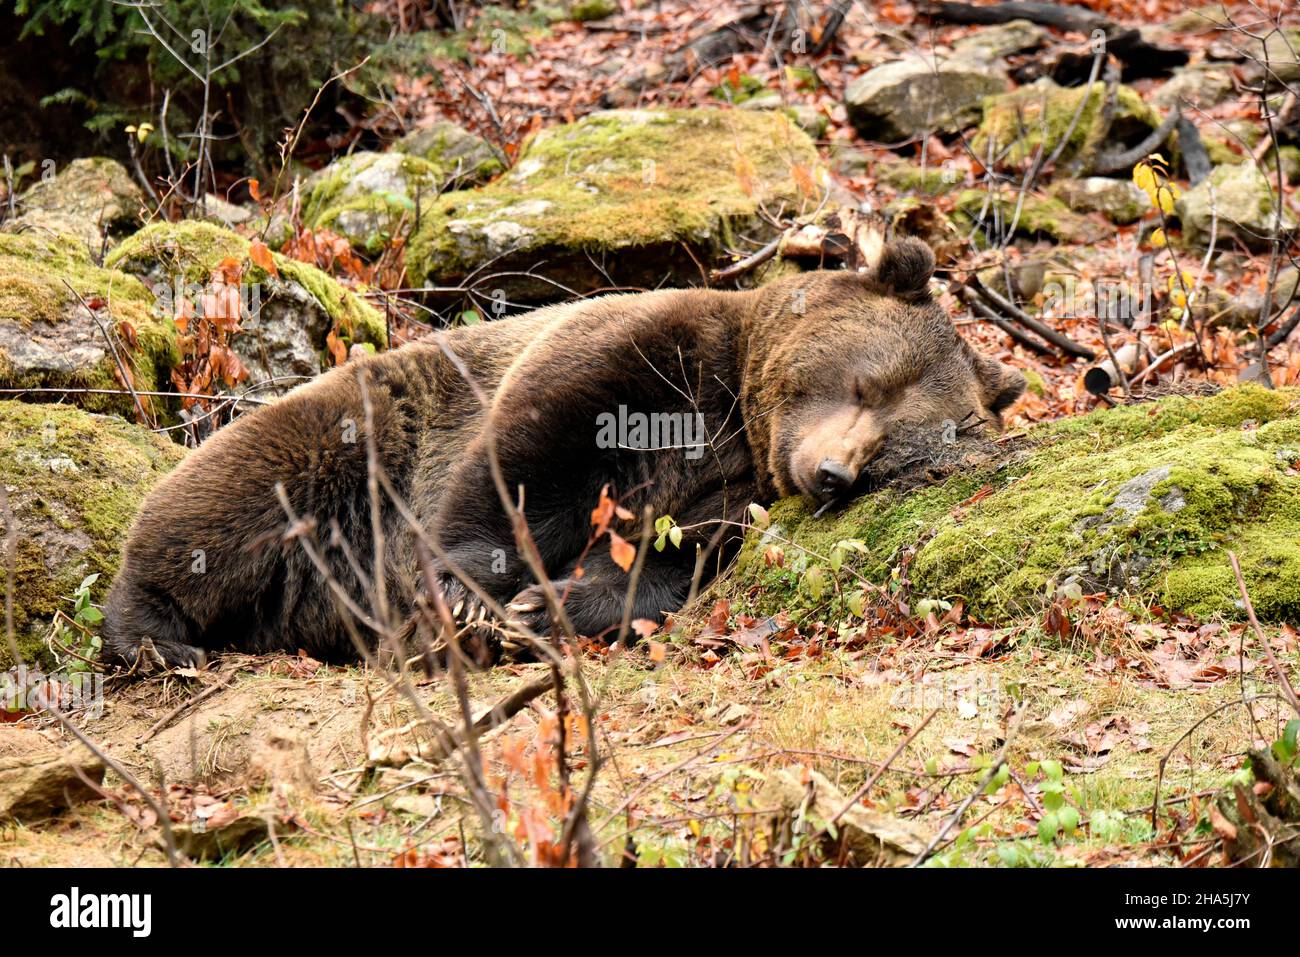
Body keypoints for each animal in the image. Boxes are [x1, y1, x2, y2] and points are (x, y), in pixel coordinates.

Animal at [101, 238, 1025, 670]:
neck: (740, 411)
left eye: (900, 447)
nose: (831, 473)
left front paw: (538, 612)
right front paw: (470, 591)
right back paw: (156, 632)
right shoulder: (645, 356)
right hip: (364, 432)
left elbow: (663, 564)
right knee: (241, 494)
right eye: (869, 383)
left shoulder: (730, 496)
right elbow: (531, 455)